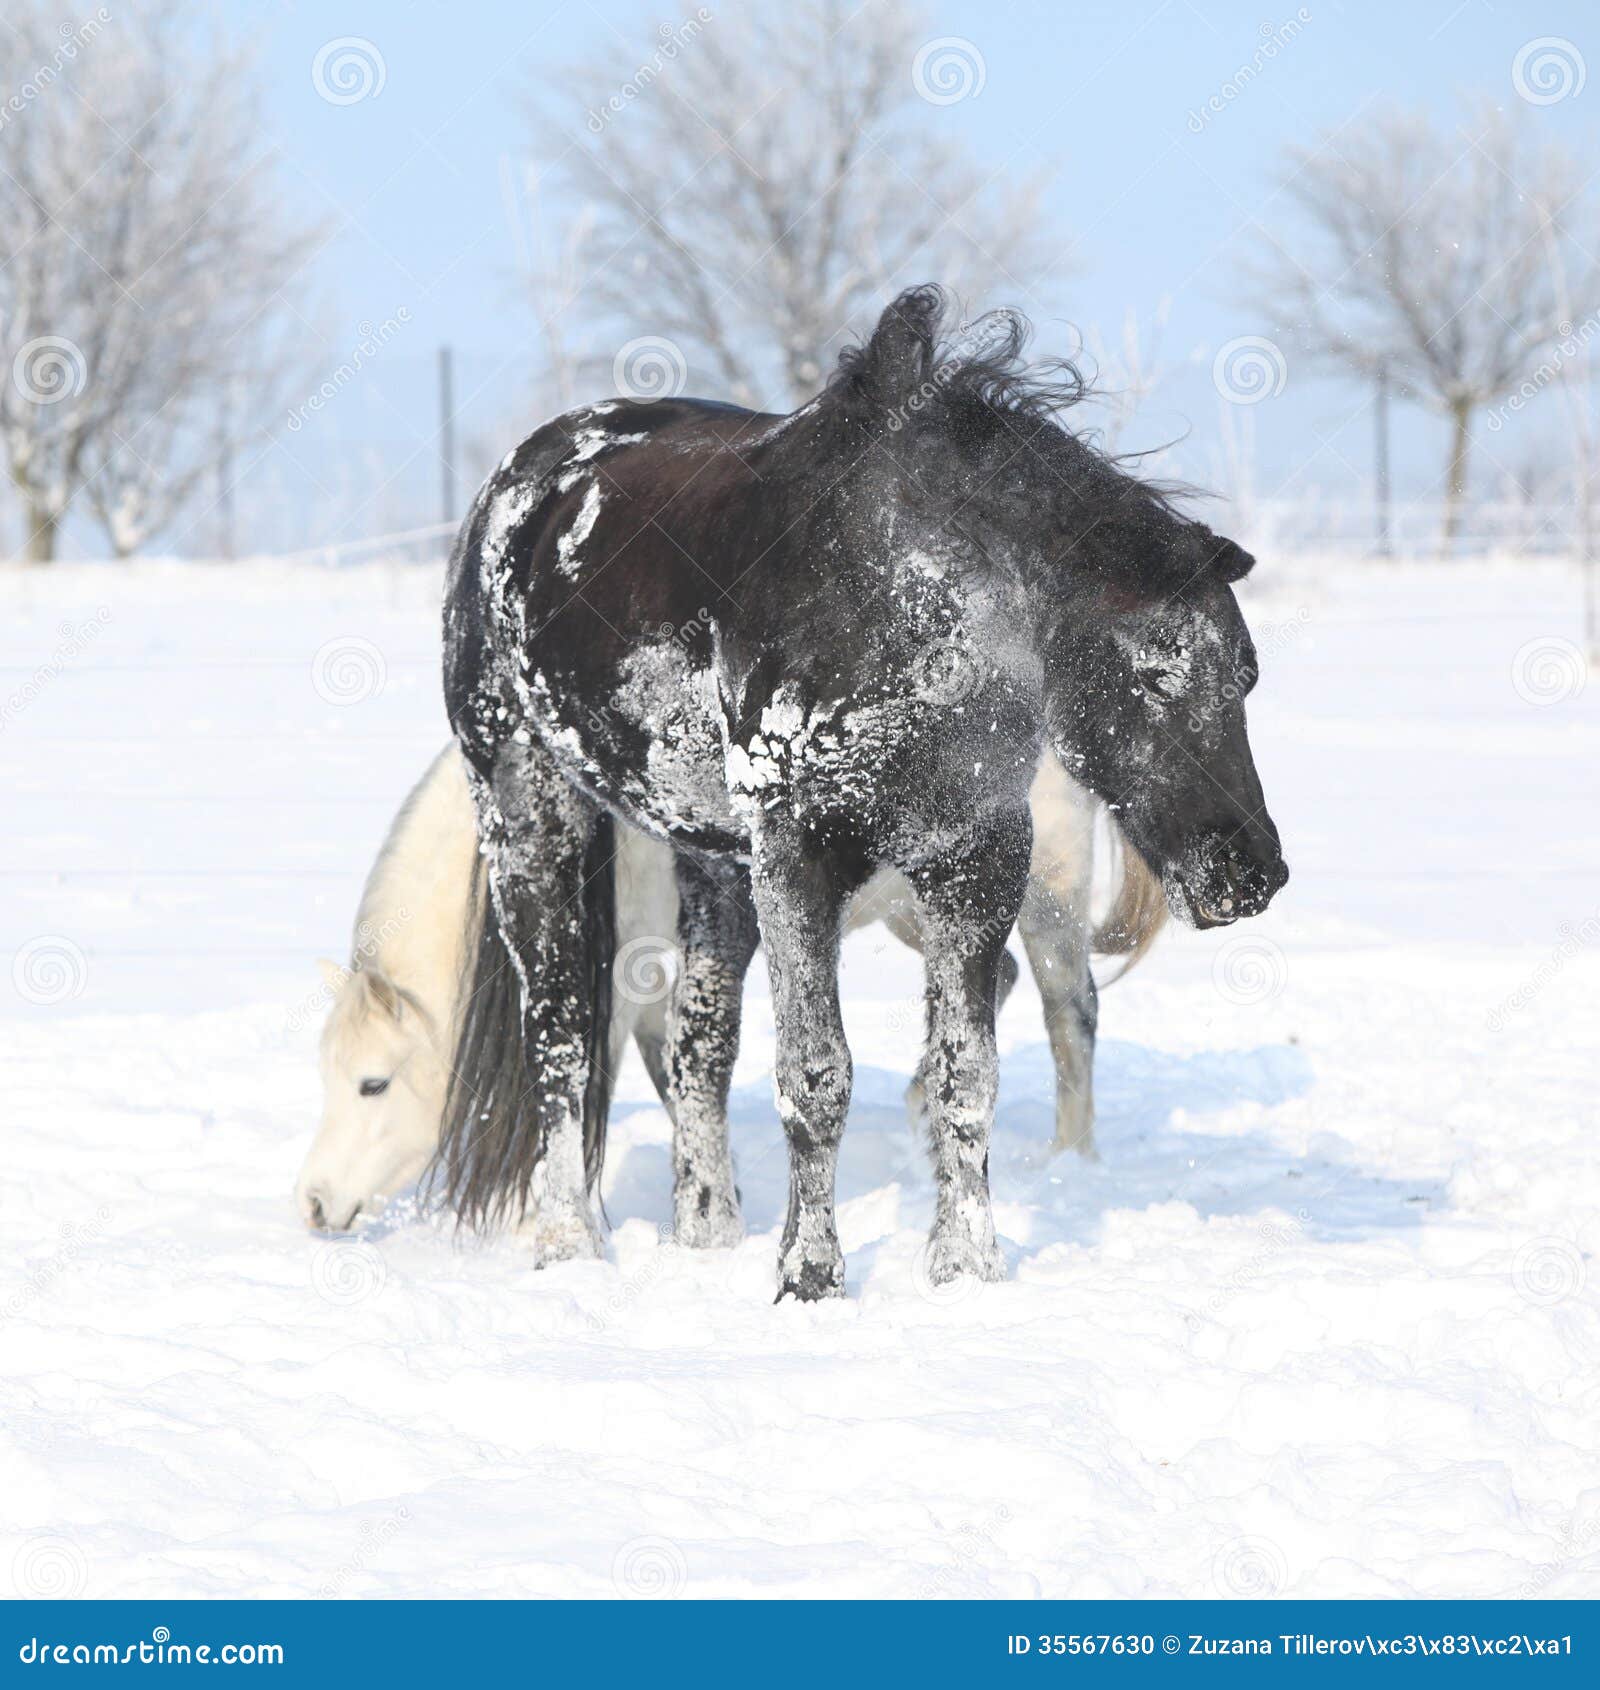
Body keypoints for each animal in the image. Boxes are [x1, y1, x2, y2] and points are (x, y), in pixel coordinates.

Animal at [294, 745, 1163, 1232]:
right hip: (916, 907)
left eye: (374, 1083)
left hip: (1046, 890)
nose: (312, 1203)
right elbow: (672, 1080)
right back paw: (924, 1108)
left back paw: (1071, 1158)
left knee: (1070, 1010)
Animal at [434, 286, 1287, 1299]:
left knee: (697, 1043)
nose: (1251, 871)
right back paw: (568, 1242)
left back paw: (707, 1232)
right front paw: (809, 1279)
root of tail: (518, 482)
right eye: (1155, 676)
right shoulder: (801, 858)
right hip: (529, 814)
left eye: (1247, 675)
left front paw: (965, 1271)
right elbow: (816, 1076)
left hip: (714, 861)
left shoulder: (977, 862)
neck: (900, 604)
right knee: (563, 1027)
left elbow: (965, 1076)